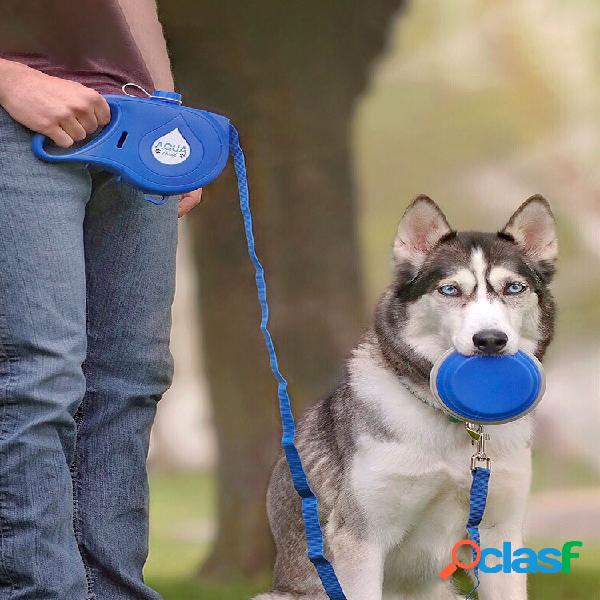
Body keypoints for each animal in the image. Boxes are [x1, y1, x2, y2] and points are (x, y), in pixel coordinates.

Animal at [256, 197, 556, 600]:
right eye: (450, 290)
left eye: (513, 288)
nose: (491, 340)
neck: (457, 428)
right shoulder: (362, 538)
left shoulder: (500, 534)